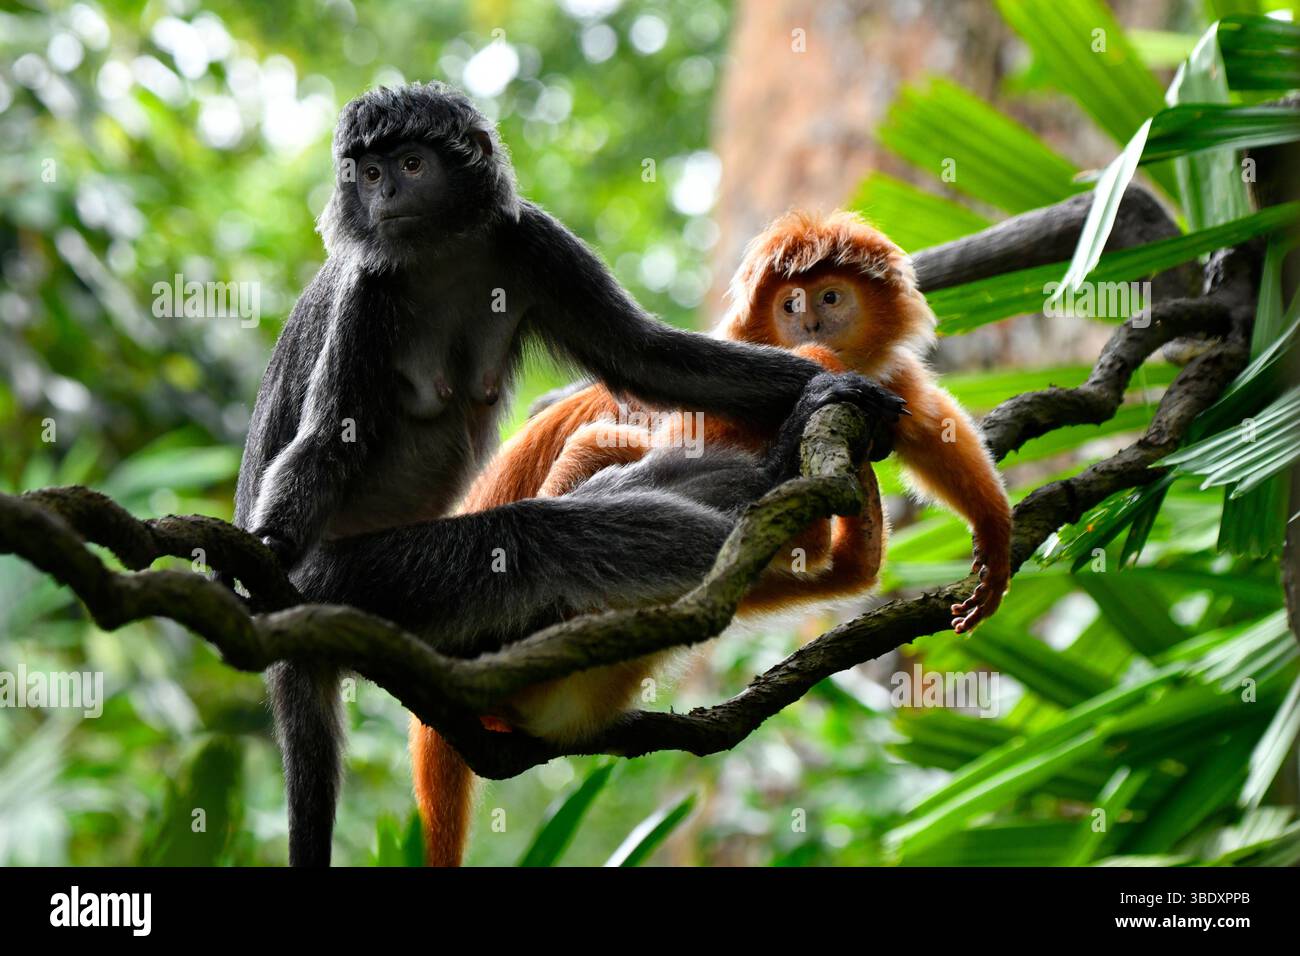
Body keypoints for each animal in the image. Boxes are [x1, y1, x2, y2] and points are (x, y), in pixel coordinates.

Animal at [231, 83, 906, 866]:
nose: (385, 193)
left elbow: (649, 356)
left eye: (409, 163)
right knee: (548, 539)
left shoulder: (535, 242)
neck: (442, 255)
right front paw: (267, 547)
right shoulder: (369, 289)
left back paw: (775, 471)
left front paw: (840, 391)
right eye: (368, 175)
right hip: (357, 581)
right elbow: (327, 442)